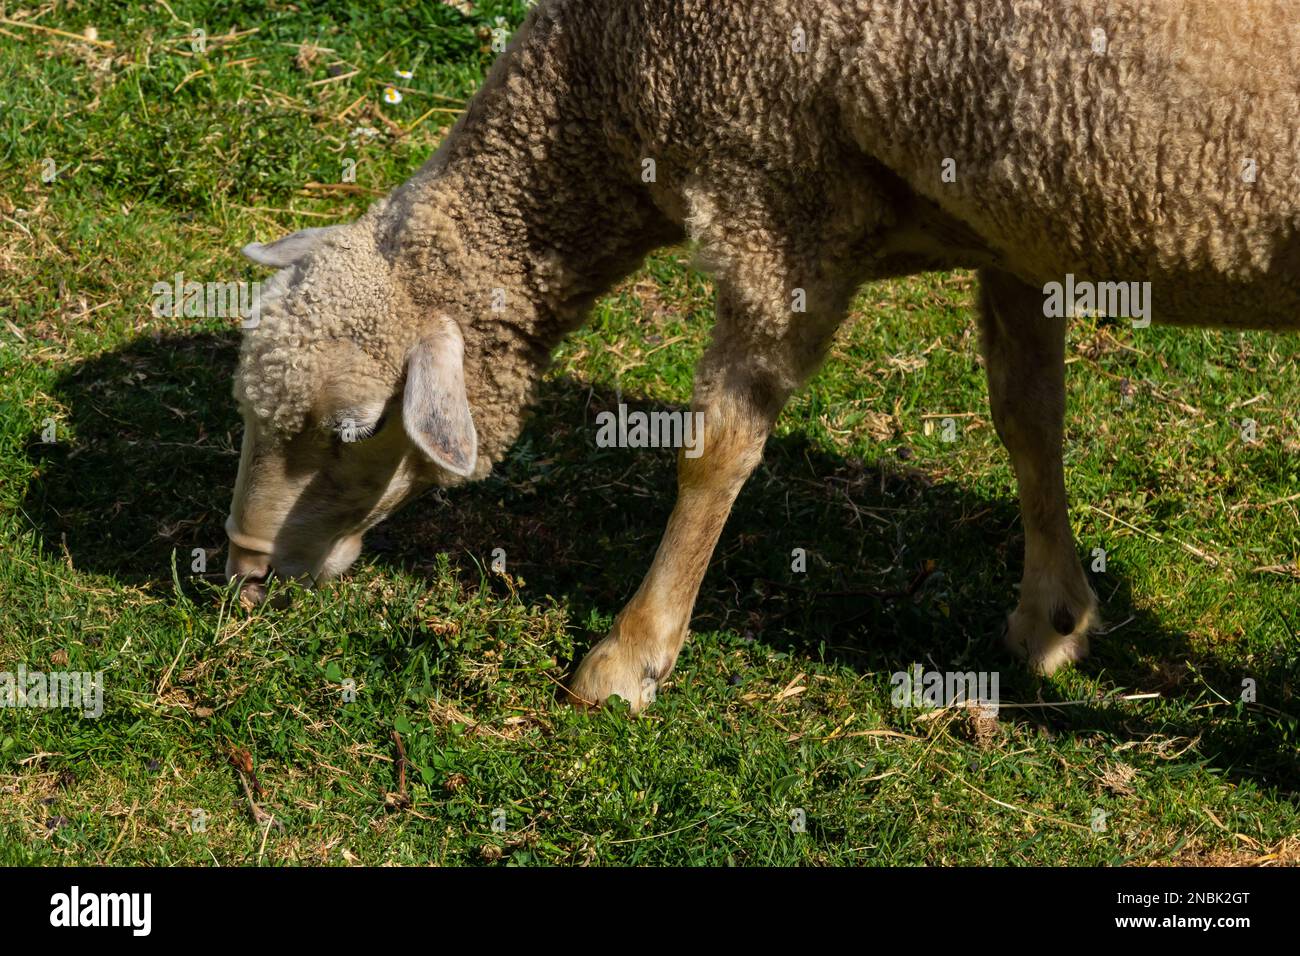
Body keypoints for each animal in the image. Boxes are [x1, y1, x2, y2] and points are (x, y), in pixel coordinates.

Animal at [226, 0, 1300, 711]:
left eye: (349, 433)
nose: (238, 573)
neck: (606, 75)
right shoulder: (1012, 223)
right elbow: (1028, 419)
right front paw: (1053, 621)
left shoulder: (775, 196)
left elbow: (718, 450)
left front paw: (630, 657)